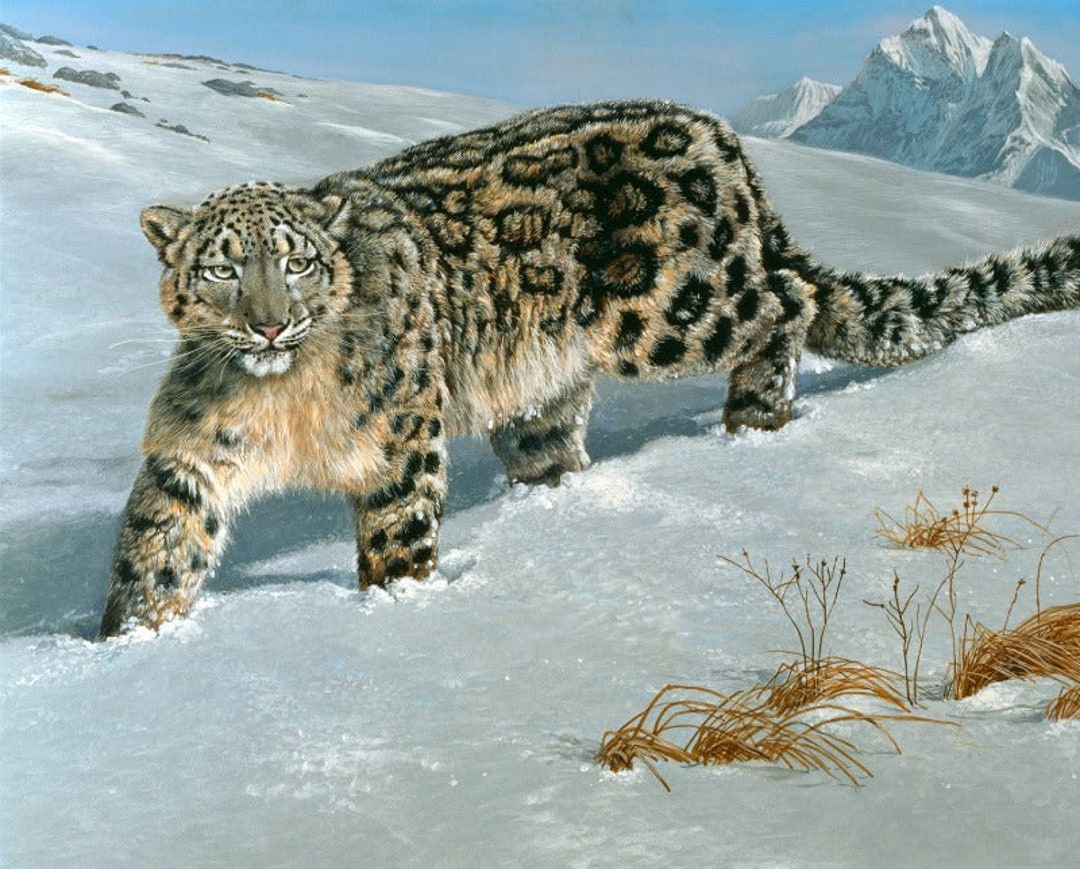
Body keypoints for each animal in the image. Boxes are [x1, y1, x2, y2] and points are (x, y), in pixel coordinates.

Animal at [99, 99, 1080, 637]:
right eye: (221, 268)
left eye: (297, 260)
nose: (268, 325)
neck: (281, 400)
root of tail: (725, 140)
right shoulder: (191, 451)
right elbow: (157, 545)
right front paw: (124, 640)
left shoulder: (398, 446)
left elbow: (394, 541)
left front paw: (395, 610)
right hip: (539, 394)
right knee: (555, 445)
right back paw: (558, 495)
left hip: (675, 310)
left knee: (787, 304)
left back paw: (755, 419)